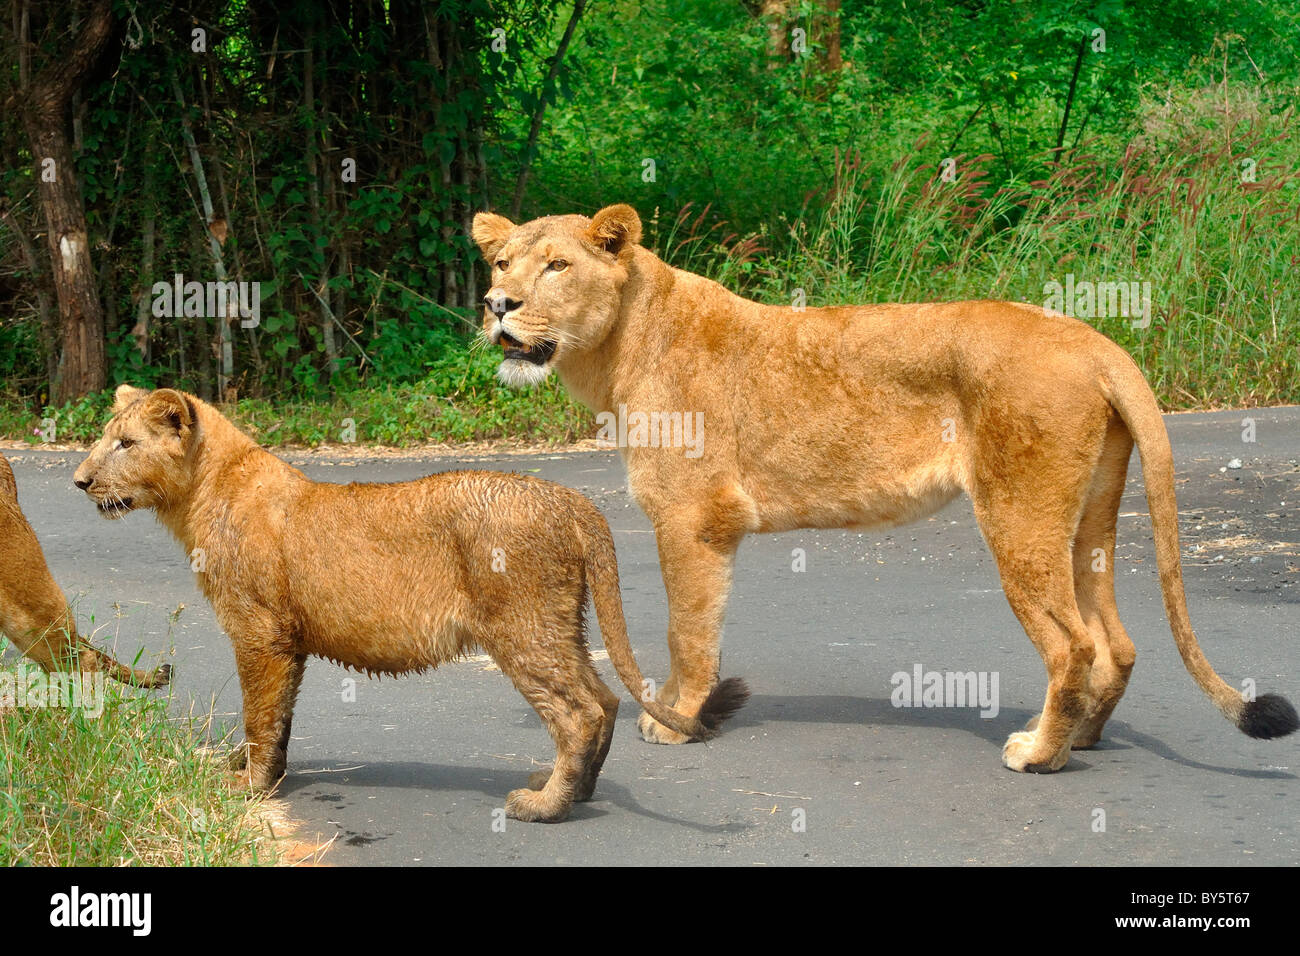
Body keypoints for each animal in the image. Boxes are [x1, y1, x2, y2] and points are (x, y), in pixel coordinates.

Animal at [72, 386, 743, 822]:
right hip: (558, 626)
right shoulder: (287, 641)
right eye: (103, 440)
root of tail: (573, 501)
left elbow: (261, 716)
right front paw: (255, 772)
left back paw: (543, 806)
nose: (79, 481)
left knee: (578, 712)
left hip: (521, 628)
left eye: (124, 443)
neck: (199, 494)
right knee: (603, 699)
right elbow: (279, 718)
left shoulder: (259, 634)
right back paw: (573, 791)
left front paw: (251, 788)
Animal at [471, 202, 1298, 772]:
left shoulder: (694, 517)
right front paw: (681, 713)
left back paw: (1039, 754)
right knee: (1116, 643)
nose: (496, 307)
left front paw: (675, 721)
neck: (619, 348)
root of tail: (1095, 340)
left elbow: (687, 633)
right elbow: (698, 630)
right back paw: (1083, 740)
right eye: (502, 263)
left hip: (1019, 516)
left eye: (556, 267)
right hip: (1089, 516)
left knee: (1074, 645)